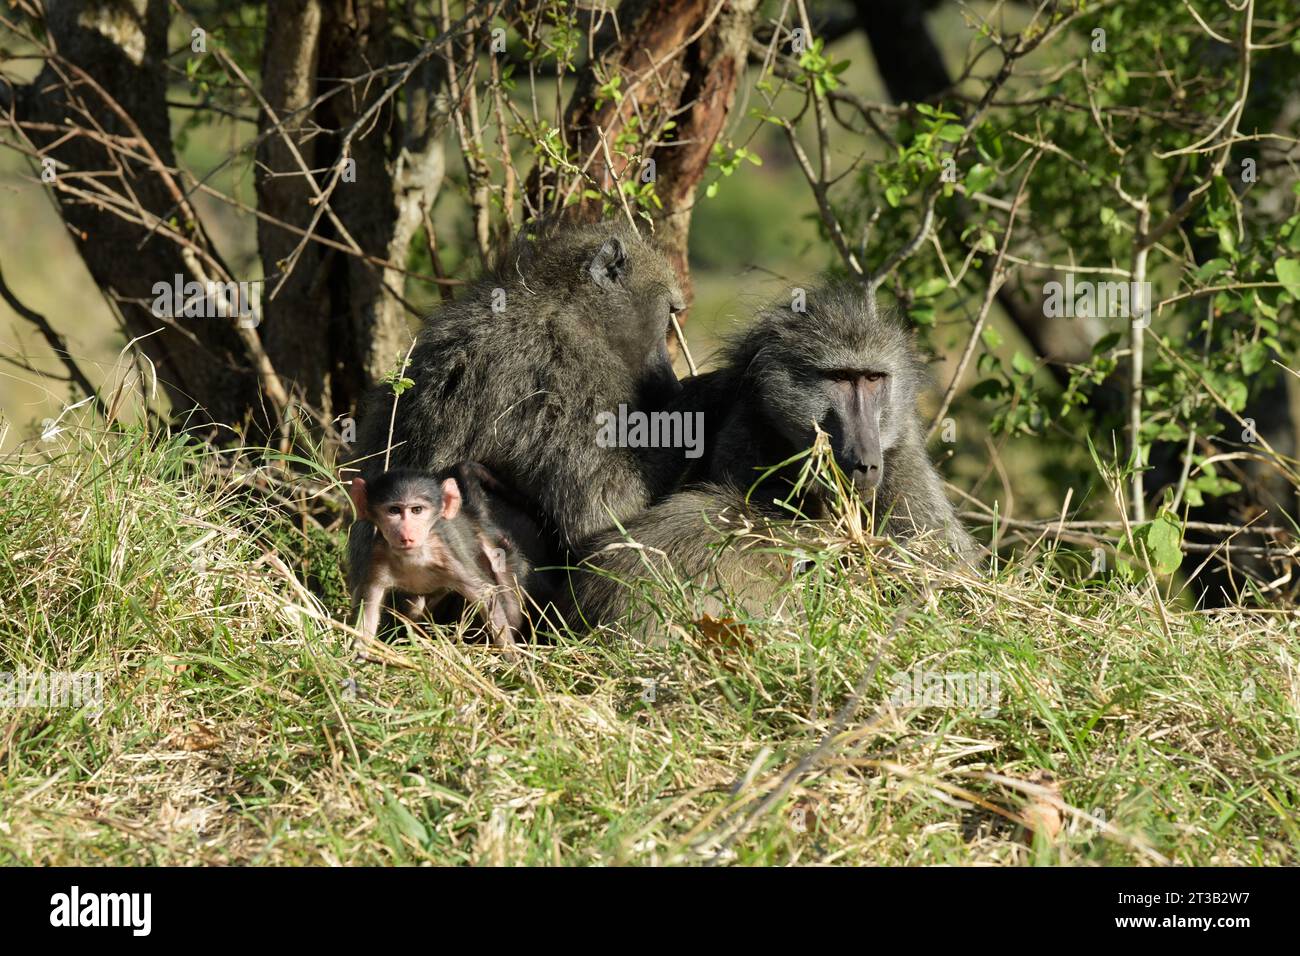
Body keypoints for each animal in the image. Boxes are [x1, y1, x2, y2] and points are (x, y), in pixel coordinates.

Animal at [347, 466, 556, 657]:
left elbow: (486, 595)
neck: (415, 556)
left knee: (511, 610)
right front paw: (358, 655)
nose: (406, 534)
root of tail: (474, 516)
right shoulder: (378, 558)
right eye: (394, 510)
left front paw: (514, 663)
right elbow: (369, 605)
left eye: (417, 510)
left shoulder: (448, 558)